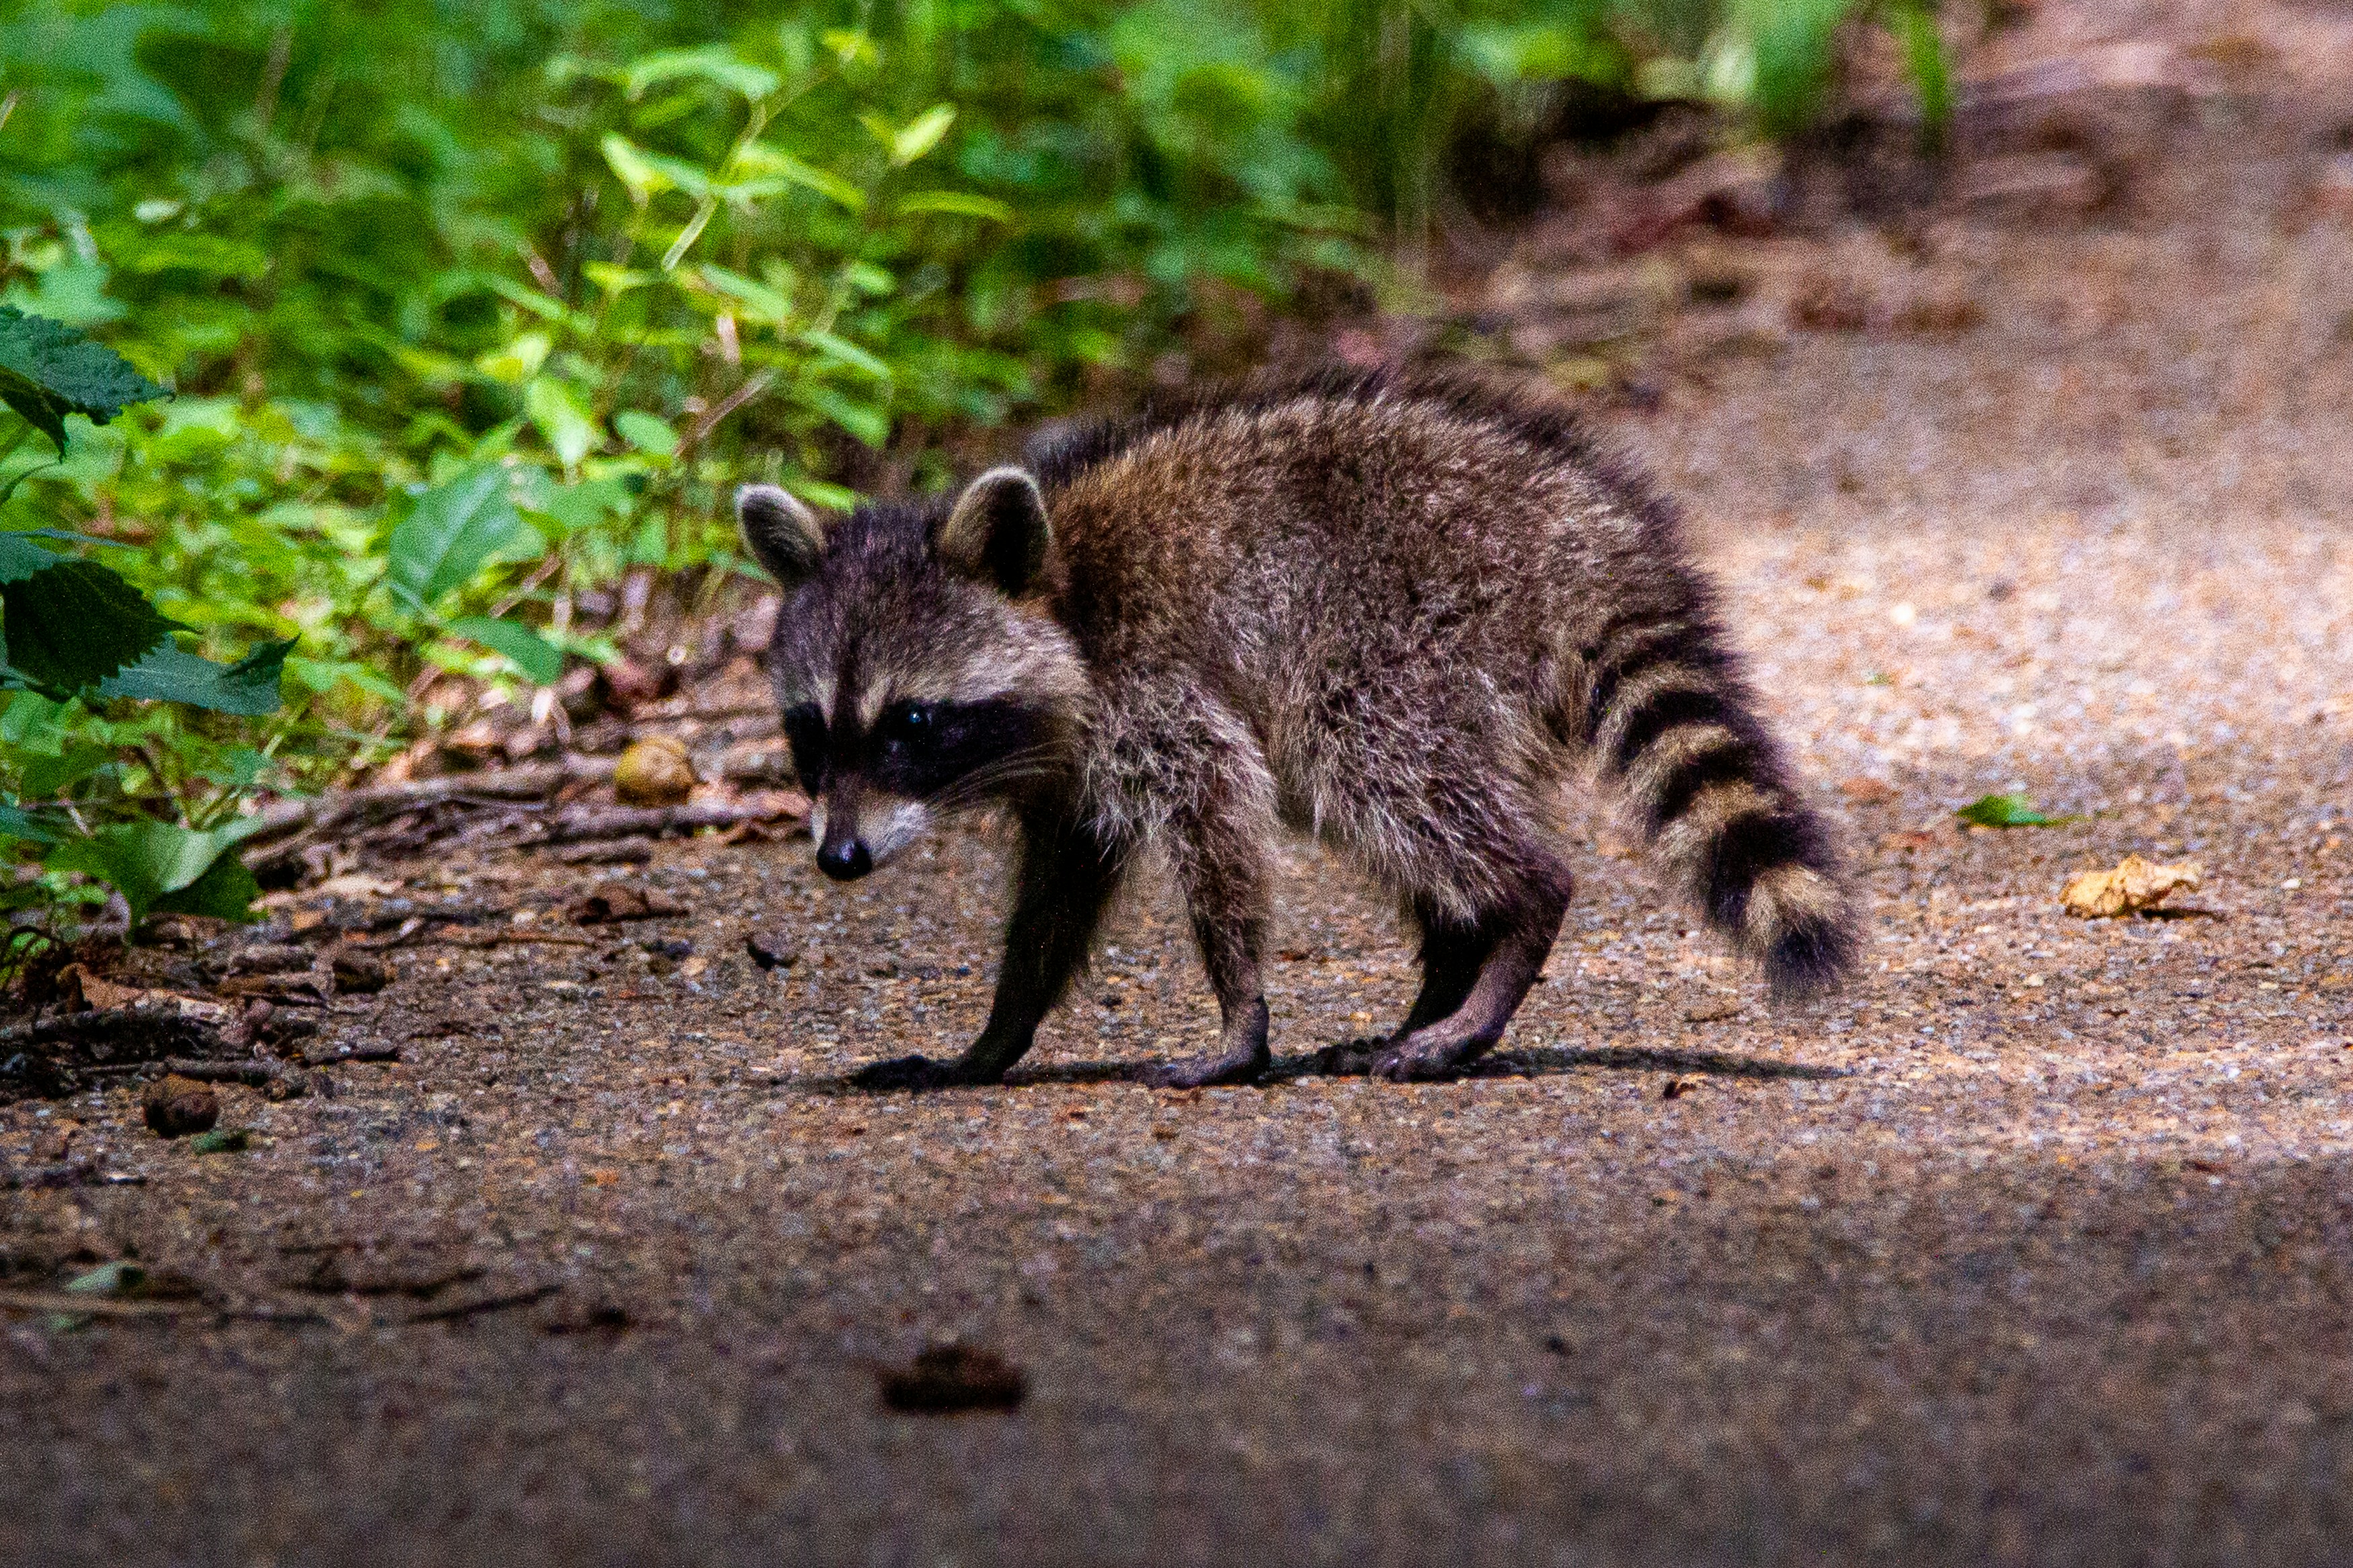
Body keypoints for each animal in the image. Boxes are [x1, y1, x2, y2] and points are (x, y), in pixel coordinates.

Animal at [738, 368, 1857, 1090]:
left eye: (910, 722)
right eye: (812, 733)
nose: (839, 858)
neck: (1064, 595)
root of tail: (1587, 538)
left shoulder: (1152, 688)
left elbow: (1220, 814)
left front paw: (1240, 1016)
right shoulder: (1070, 774)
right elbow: (1056, 895)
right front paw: (995, 1036)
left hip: (1410, 633)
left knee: (1376, 772)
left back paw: (1504, 935)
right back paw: (1448, 974)